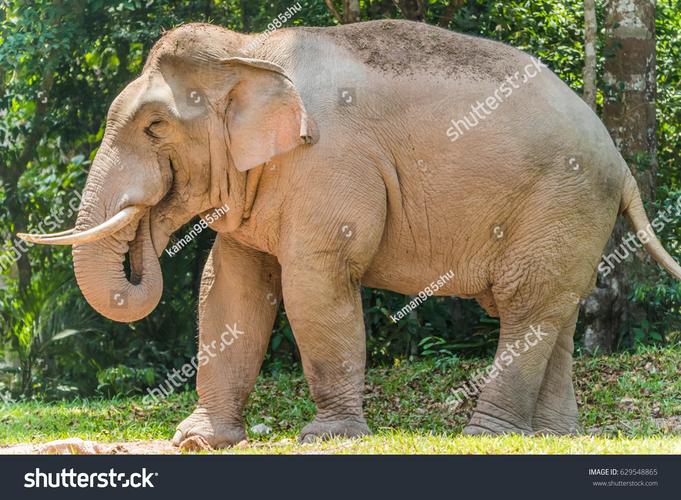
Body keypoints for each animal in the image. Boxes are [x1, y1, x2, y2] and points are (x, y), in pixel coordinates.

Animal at [20, 19, 681, 447]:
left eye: (155, 127)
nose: (146, 235)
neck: (249, 52)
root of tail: (620, 161)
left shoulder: (330, 165)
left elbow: (315, 282)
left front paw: (327, 437)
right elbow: (229, 287)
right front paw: (197, 441)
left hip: (561, 200)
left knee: (526, 304)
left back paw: (486, 434)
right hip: (572, 216)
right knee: (556, 310)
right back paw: (551, 436)